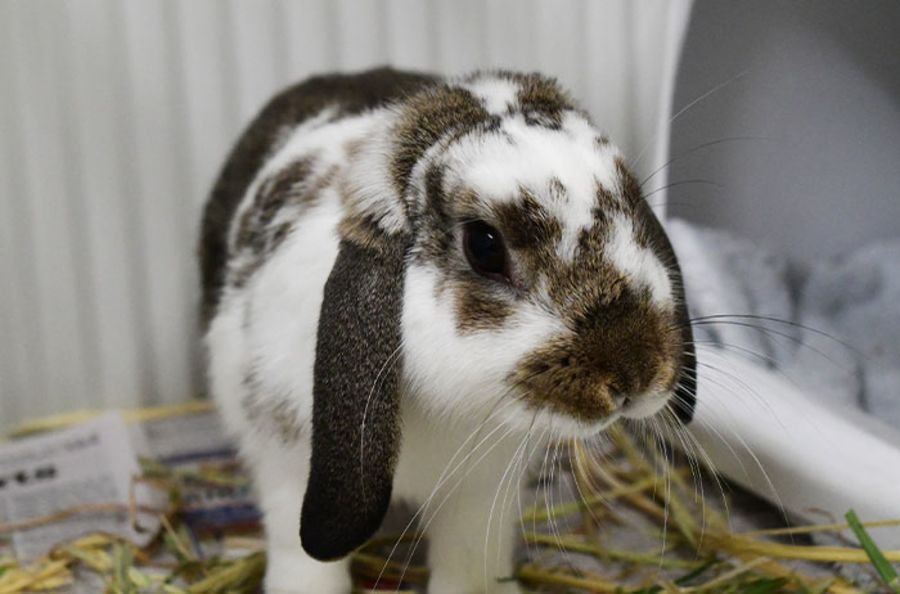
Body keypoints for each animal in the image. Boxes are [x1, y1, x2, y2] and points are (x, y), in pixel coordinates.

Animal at [199, 67, 696, 594]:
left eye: (635, 212)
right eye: (484, 245)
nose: (634, 377)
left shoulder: (479, 495)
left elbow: (469, 560)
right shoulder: (287, 470)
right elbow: (304, 562)